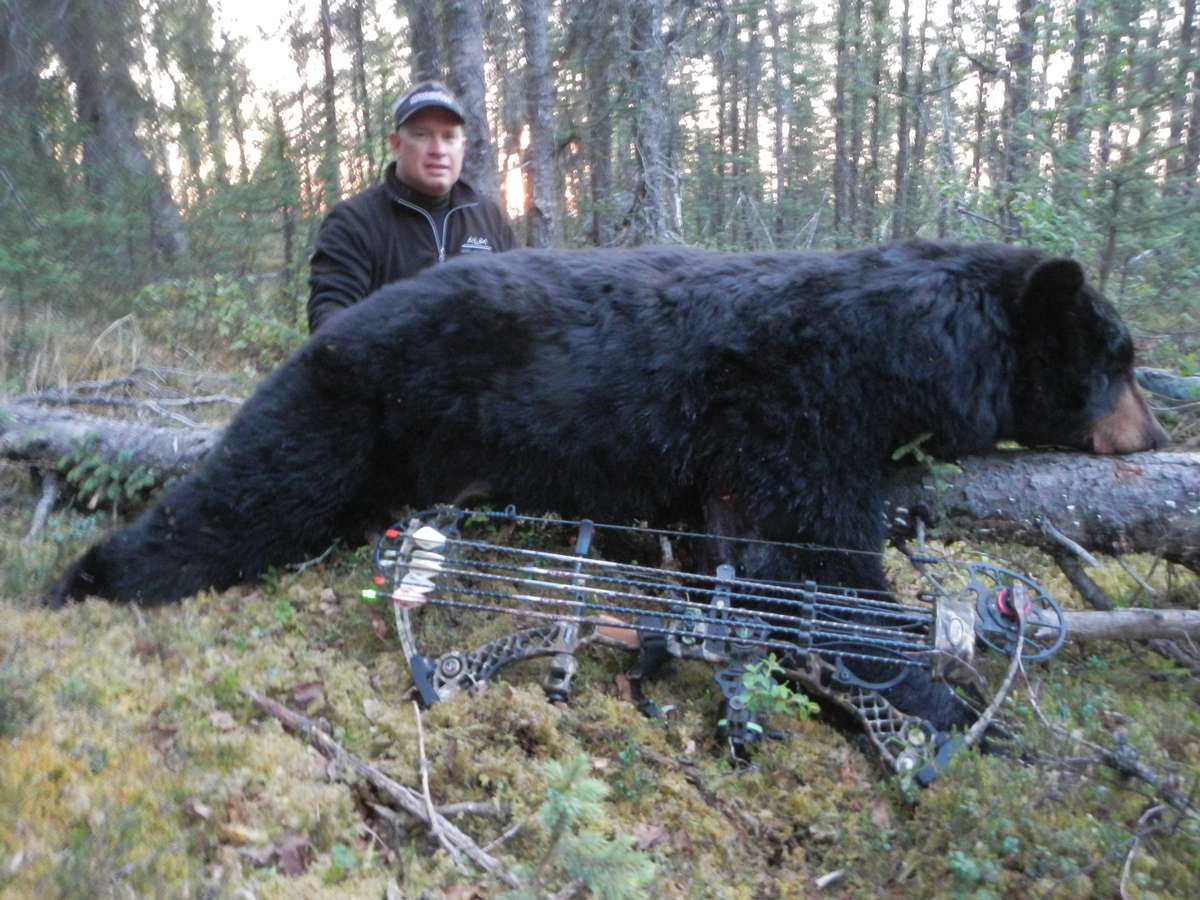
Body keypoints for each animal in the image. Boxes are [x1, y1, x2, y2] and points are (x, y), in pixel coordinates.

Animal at [45, 240, 1167, 731]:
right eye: (1119, 360)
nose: (1158, 429)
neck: (897, 342)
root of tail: (331, 327)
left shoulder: (731, 473)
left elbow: (740, 567)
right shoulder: (799, 413)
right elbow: (820, 570)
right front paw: (952, 707)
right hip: (350, 411)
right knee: (240, 497)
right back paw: (80, 584)